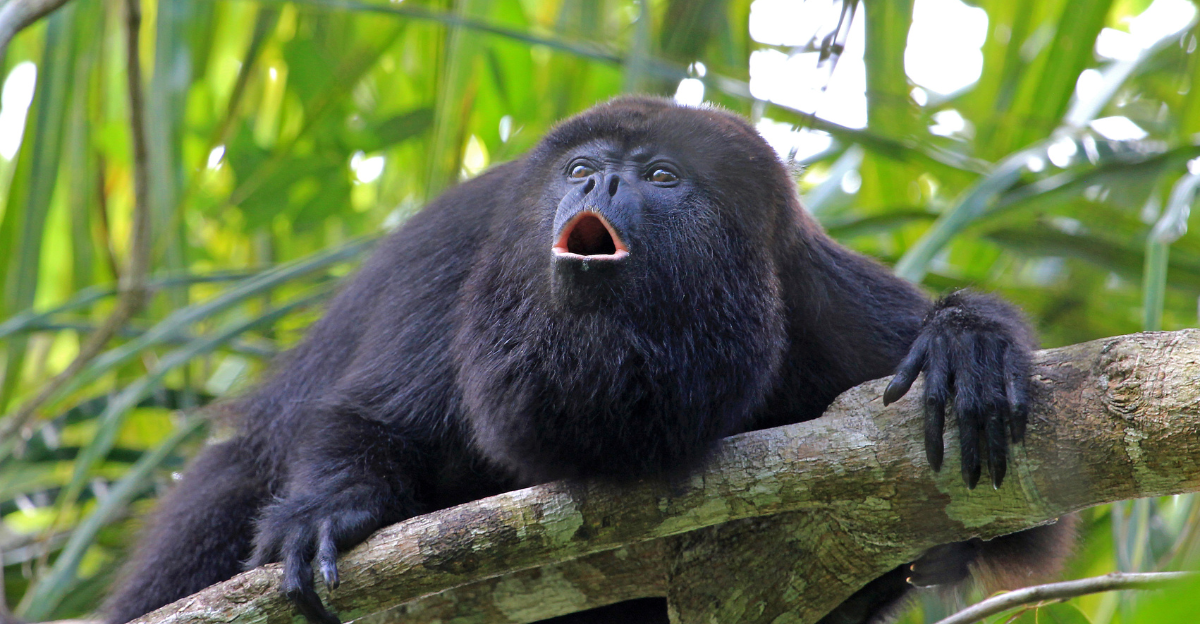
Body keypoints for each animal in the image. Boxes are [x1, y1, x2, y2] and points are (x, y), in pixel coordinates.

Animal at [104, 96, 1074, 624]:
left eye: (662, 176)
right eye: (580, 168)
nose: (601, 182)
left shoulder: (818, 297)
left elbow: (1014, 521)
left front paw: (966, 342)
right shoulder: (466, 253)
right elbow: (372, 418)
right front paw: (327, 511)